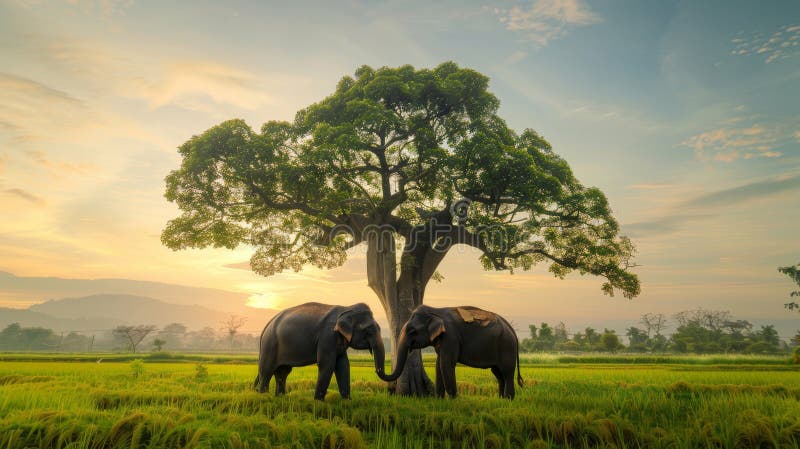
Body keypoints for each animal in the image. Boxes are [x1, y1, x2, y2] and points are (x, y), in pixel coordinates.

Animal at [253, 302, 387, 400]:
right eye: (368, 331)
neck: (347, 308)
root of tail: (266, 326)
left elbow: (343, 365)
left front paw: (347, 401)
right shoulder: (328, 336)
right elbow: (327, 364)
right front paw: (318, 402)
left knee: (282, 372)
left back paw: (280, 398)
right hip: (269, 346)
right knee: (266, 371)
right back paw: (263, 398)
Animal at [378, 305, 522, 399]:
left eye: (413, 331)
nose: (390, 390)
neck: (435, 310)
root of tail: (512, 330)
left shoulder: (451, 337)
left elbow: (446, 364)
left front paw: (454, 400)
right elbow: (439, 364)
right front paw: (439, 400)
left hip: (507, 346)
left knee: (507, 372)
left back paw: (509, 399)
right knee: (498, 373)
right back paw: (501, 399)